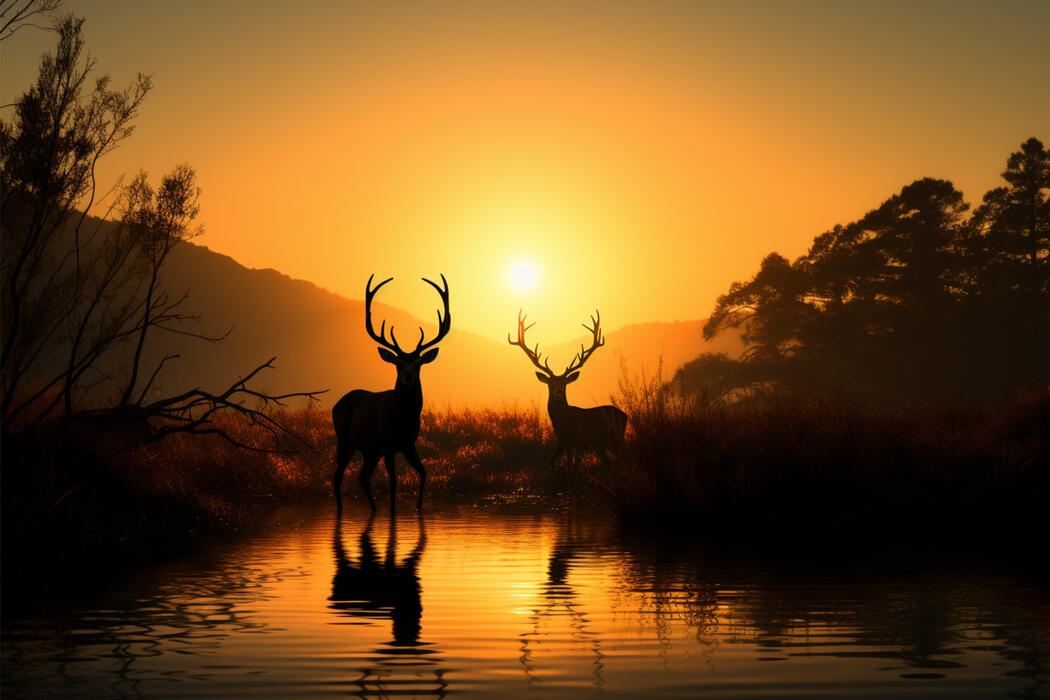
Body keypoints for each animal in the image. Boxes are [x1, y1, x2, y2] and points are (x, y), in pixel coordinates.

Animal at [332, 274, 450, 513]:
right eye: (398, 363)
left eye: (418, 363)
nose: (407, 378)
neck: (403, 420)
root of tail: (336, 405)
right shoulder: (388, 445)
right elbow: (393, 481)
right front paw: (394, 513)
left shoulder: (408, 444)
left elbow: (424, 473)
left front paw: (418, 508)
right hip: (345, 440)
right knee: (337, 477)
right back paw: (340, 511)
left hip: (369, 450)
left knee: (362, 477)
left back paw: (374, 509)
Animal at [508, 310, 628, 489]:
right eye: (550, 383)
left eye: (564, 383)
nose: (558, 391)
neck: (563, 423)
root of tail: (625, 415)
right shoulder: (563, 442)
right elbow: (553, 462)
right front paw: (565, 483)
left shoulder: (573, 440)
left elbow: (569, 466)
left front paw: (568, 484)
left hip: (605, 439)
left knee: (612, 462)